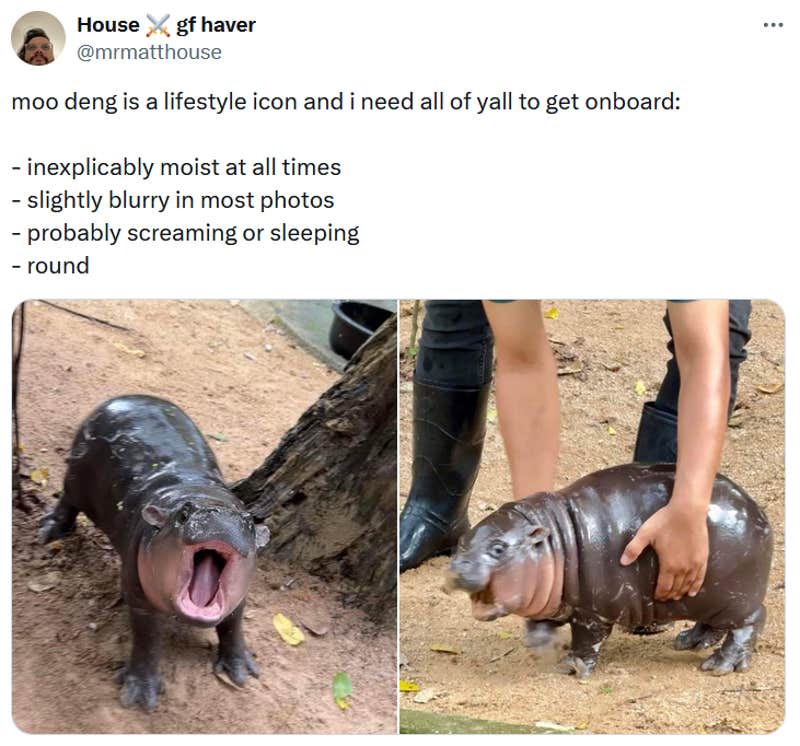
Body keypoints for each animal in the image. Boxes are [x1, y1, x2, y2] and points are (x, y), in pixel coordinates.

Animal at [39, 395, 270, 710]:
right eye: (184, 514)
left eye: (248, 521)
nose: (219, 520)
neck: (201, 493)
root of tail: (122, 396)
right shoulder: (139, 595)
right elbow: (147, 639)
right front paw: (139, 696)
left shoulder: (239, 596)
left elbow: (233, 626)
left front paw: (242, 671)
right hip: (75, 477)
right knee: (66, 500)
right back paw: (49, 532)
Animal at [448, 463, 772, 677]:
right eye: (461, 541)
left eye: (498, 548)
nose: (456, 570)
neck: (556, 541)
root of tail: (757, 511)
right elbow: (540, 622)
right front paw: (541, 646)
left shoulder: (592, 613)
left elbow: (587, 641)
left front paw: (572, 667)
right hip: (708, 598)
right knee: (713, 624)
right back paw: (688, 642)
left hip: (736, 598)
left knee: (750, 621)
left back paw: (719, 666)